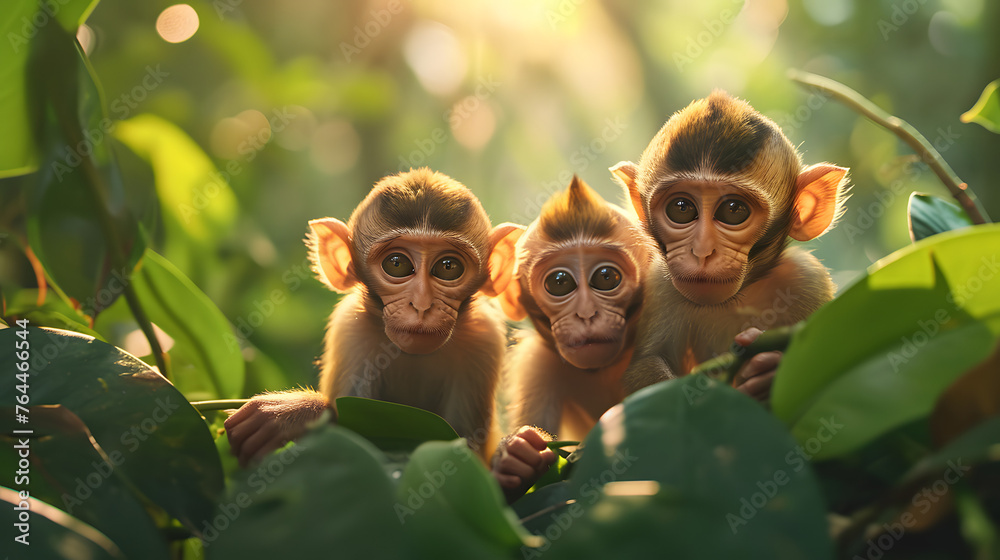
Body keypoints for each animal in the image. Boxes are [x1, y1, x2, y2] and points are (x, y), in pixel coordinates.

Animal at [225, 168, 520, 467]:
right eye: (397, 263)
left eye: (448, 267)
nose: (422, 305)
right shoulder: (351, 331)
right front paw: (300, 412)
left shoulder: (483, 338)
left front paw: (296, 415)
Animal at [611, 90, 849, 394]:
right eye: (681, 208)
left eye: (733, 210)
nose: (702, 251)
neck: (739, 297)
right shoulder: (659, 285)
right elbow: (644, 366)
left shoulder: (808, 281)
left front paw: (768, 370)